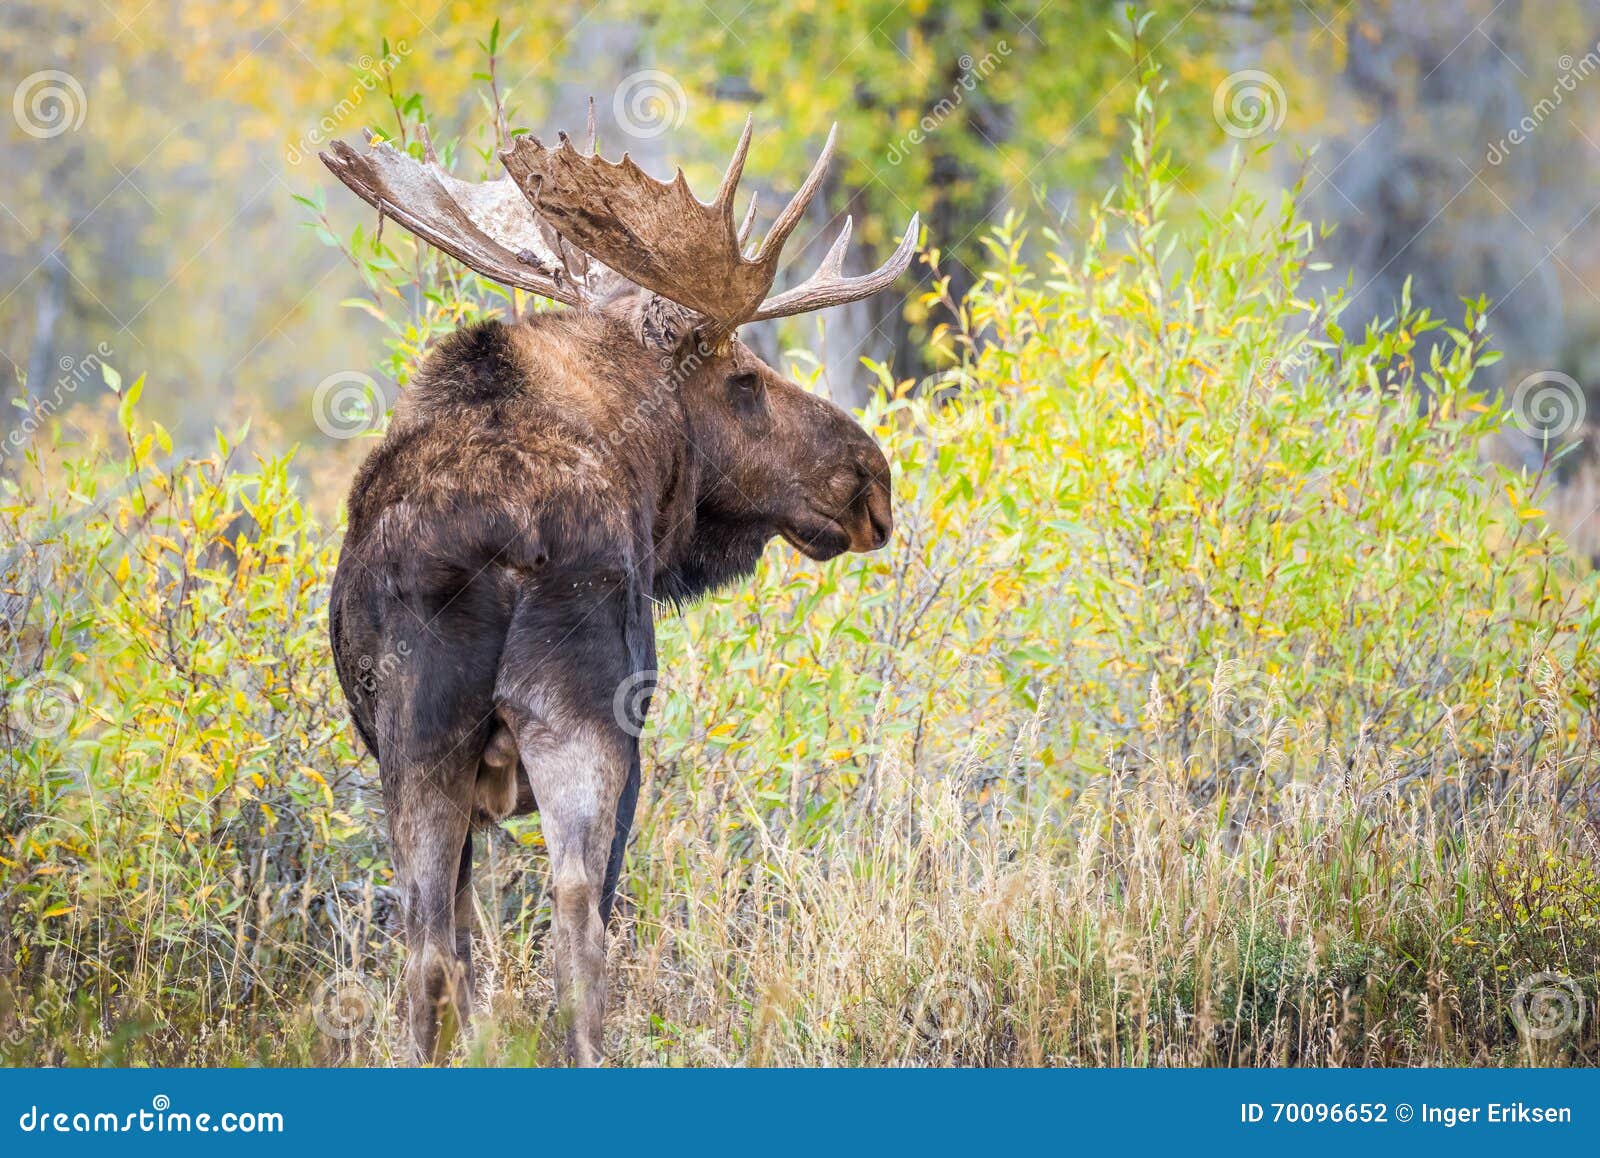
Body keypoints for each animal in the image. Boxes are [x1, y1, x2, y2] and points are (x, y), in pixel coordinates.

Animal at [318, 106, 918, 1065]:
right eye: (743, 379)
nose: (872, 480)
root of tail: (507, 538)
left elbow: (458, 942)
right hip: (585, 715)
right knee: (577, 910)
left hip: (420, 738)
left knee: (426, 945)